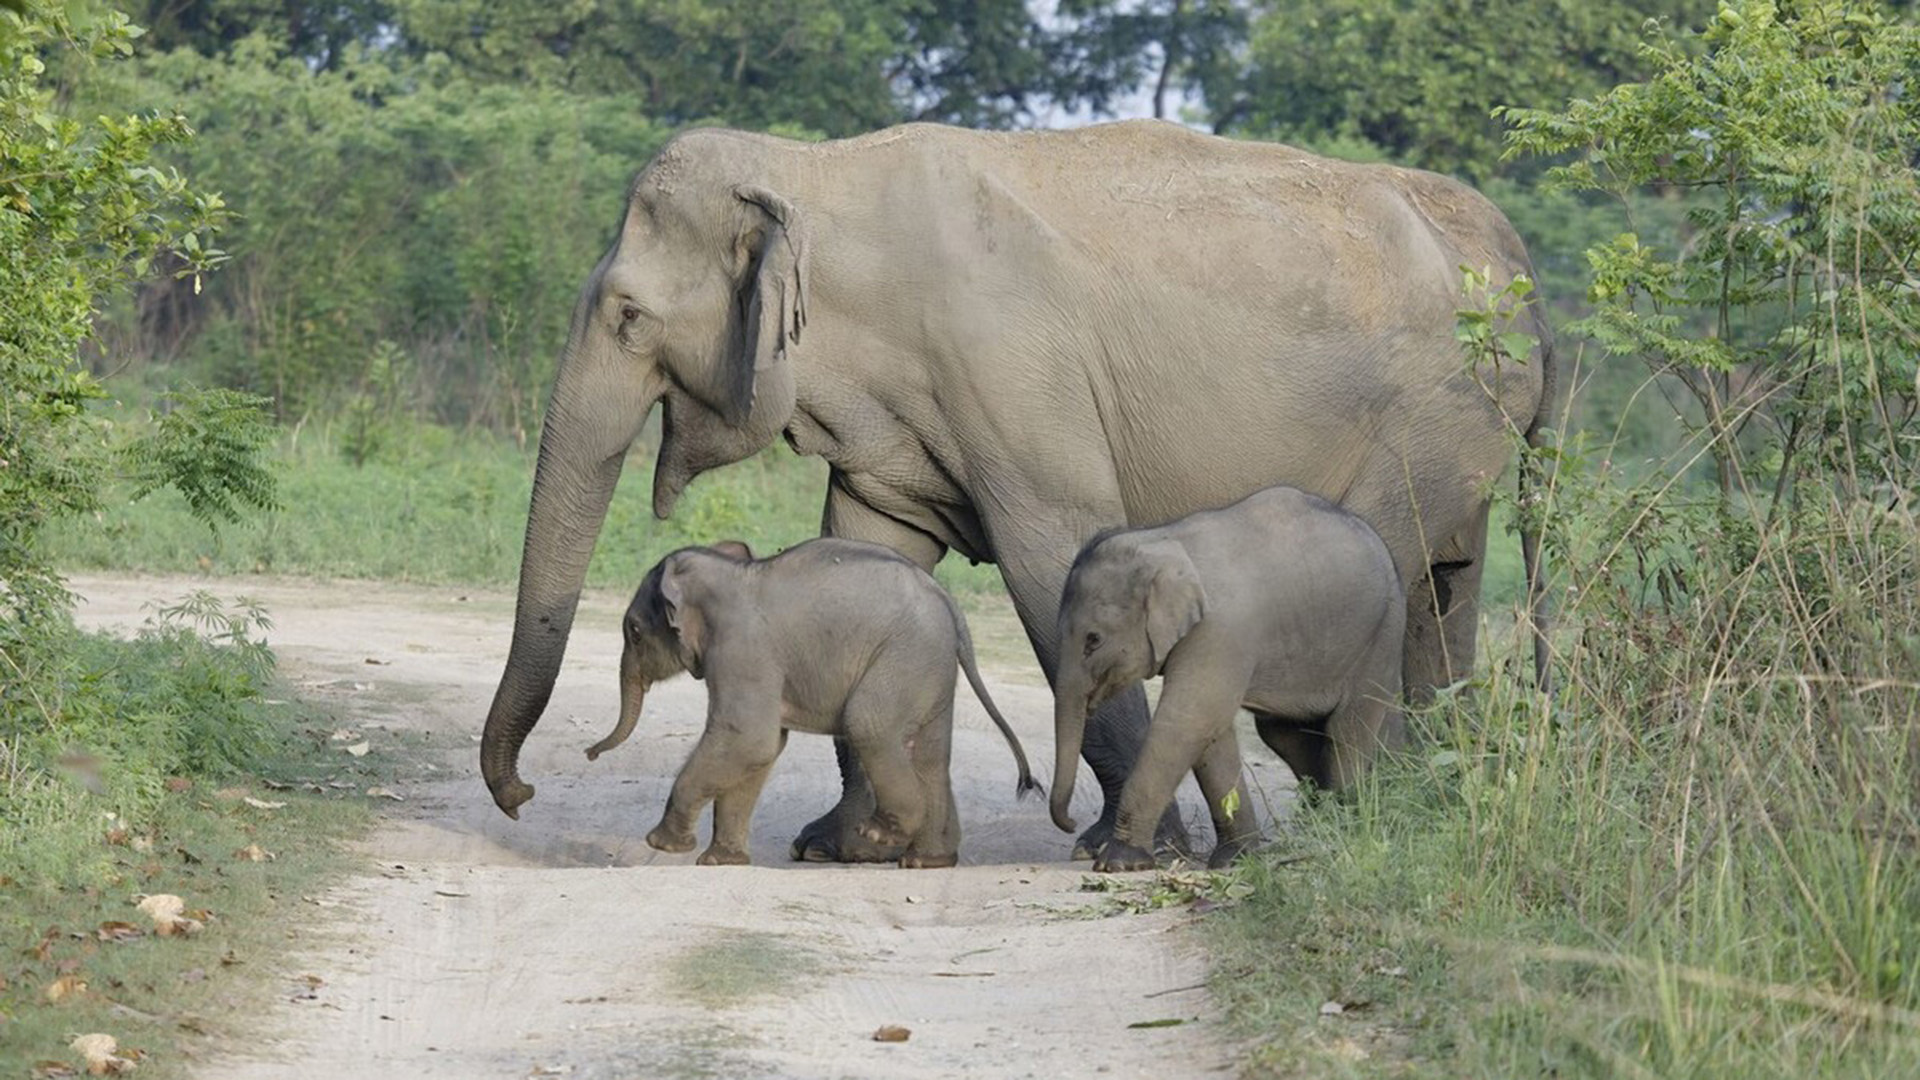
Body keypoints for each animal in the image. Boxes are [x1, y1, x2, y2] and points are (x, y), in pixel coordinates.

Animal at [585, 537, 1041, 868]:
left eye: (634, 631)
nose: (590, 753)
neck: (732, 573)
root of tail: (951, 608)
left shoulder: (742, 649)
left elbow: (747, 738)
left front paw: (663, 845)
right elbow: (762, 749)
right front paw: (721, 862)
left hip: (903, 657)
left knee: (869, 724)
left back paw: (881, 833)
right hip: (930, 670)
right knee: (930, 755)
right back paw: (927, 862)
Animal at [1049, 486, 1406, 872]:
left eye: (1093, 640)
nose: (1070, 825)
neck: (1161, 541)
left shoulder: (1220, 630)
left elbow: (1188, 721)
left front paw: (1119, 862)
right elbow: (1211, 734)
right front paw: (1235, 860)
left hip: (1381, 635)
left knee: (1347, 731)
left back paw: (1340, 833)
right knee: (1286, 735)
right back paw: (1318, 830)